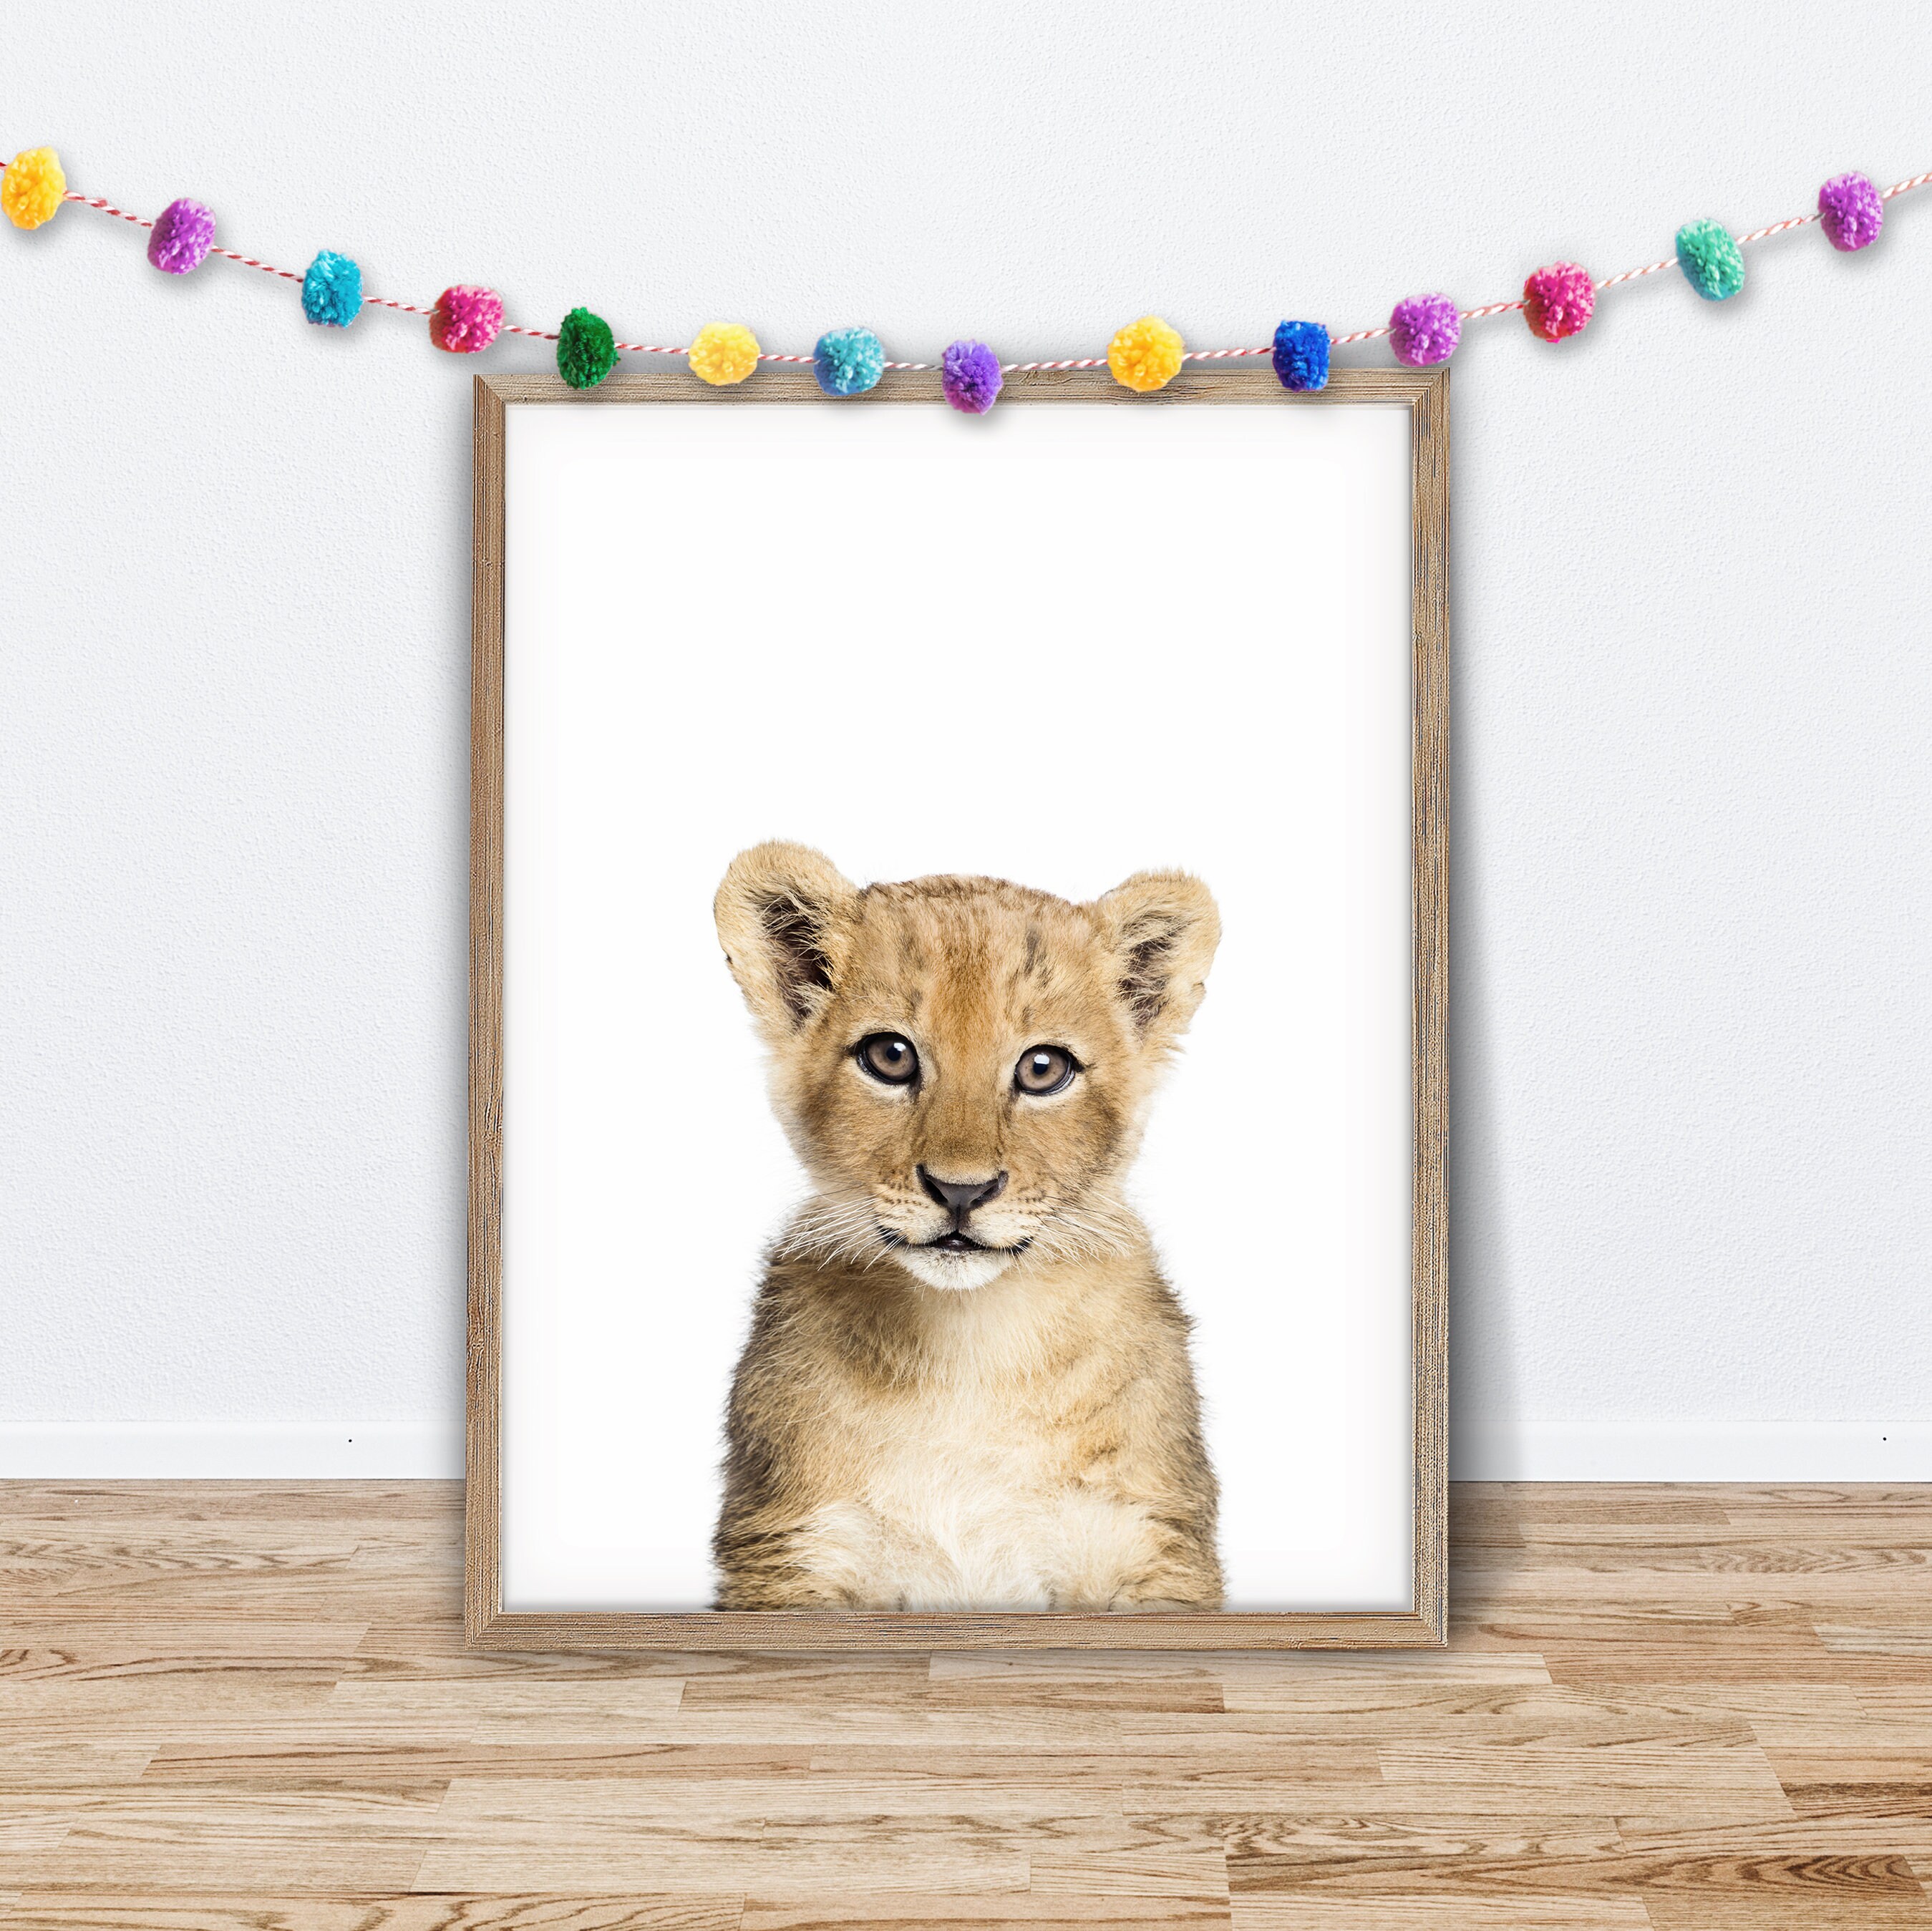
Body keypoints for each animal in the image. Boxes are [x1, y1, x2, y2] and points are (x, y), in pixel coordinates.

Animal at [710, 841, 1224, 1613]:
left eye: (1043, 1068)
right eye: (889, 1056)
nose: (961, 1190)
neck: (969, 1348)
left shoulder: (1148, 1542)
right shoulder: (793, 1546)